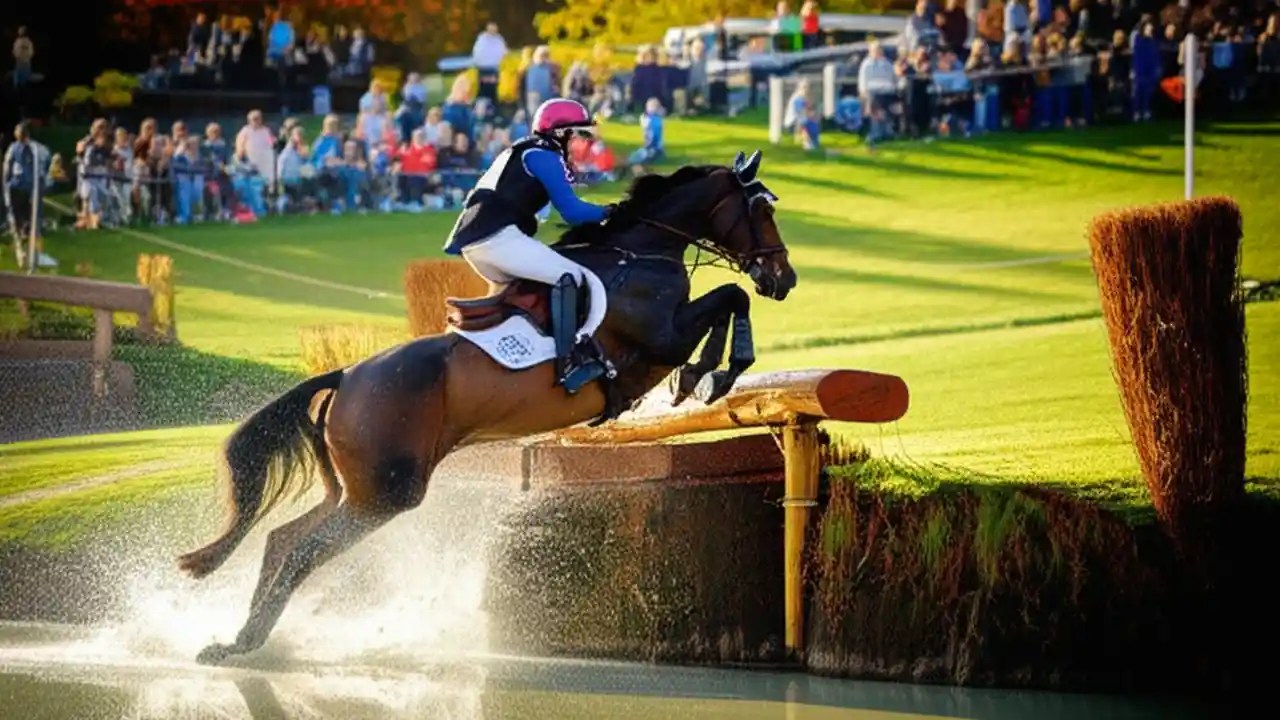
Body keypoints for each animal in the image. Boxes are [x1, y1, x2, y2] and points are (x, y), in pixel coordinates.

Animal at [177, 150, 798, 665]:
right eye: (761, 210)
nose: (784, 278)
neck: (641, 253)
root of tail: (347, 376)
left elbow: (726, 302)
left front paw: (708, 374)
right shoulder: (663, 339)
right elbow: (728, 300)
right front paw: (712, 373)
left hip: (354, 489)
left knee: (281, 540)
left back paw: (237, 639)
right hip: (387, 492)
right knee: (302, 552)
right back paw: (247, 643)